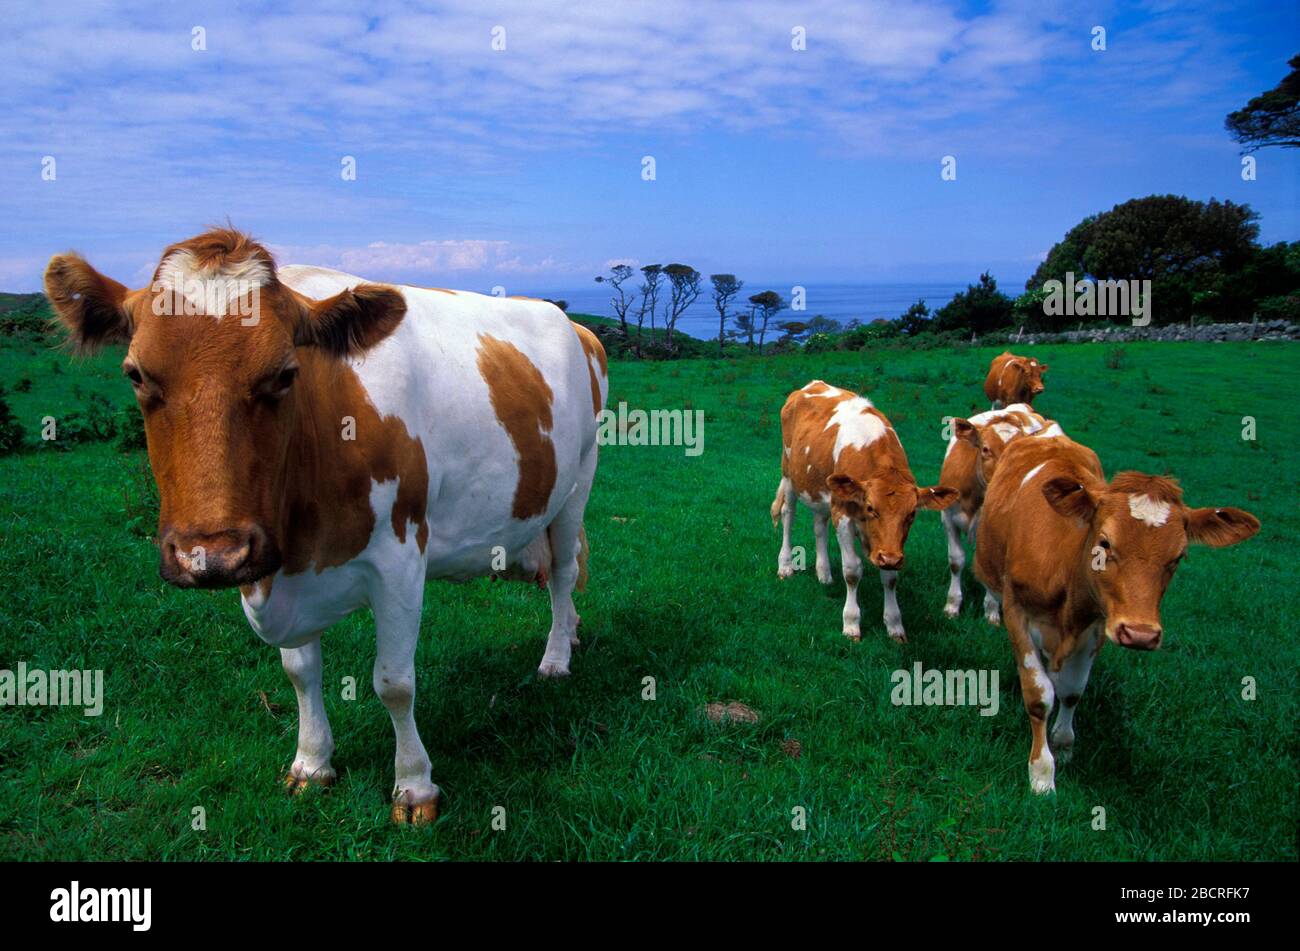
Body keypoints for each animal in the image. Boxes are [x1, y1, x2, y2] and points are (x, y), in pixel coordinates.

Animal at [43, 229, 605, 826]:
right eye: (135, 374)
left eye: (285, 373)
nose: (211, 557)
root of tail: (575, 325)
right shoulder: (273, 566)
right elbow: (299, 671)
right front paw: (312, 764)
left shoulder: (402, 556)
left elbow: (394, 682)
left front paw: (414, 786)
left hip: (578, 482)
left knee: (563, 574)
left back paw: (555, 658)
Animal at [769, 381, 956, 641]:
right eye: (870, 508)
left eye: (912, 514)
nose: (890, 558)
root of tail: (811, 385)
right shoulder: (843, 514)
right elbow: (852, 570)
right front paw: (851, 623)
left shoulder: (887, 545)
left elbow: (890, 578)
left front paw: (894, 624)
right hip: (789, 474)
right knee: (788, 515)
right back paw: (785, 566)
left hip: (821, 489)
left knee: (819, 525)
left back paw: (824, 574)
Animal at [941, 402, 1060, 621]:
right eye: (985, 449)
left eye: (1018, 450)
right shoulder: (948, 517)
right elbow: (956, 560)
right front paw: (952, 606)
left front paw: (991, 611)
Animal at [977, 433, 1258, 789]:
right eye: (1105, 543)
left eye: (1178, 557)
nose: (1140, 633)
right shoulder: (1018, 611)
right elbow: (1039, 696)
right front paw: (1041, 774)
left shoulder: (1098, 624)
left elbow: (1071, 691)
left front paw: (1064, 746)